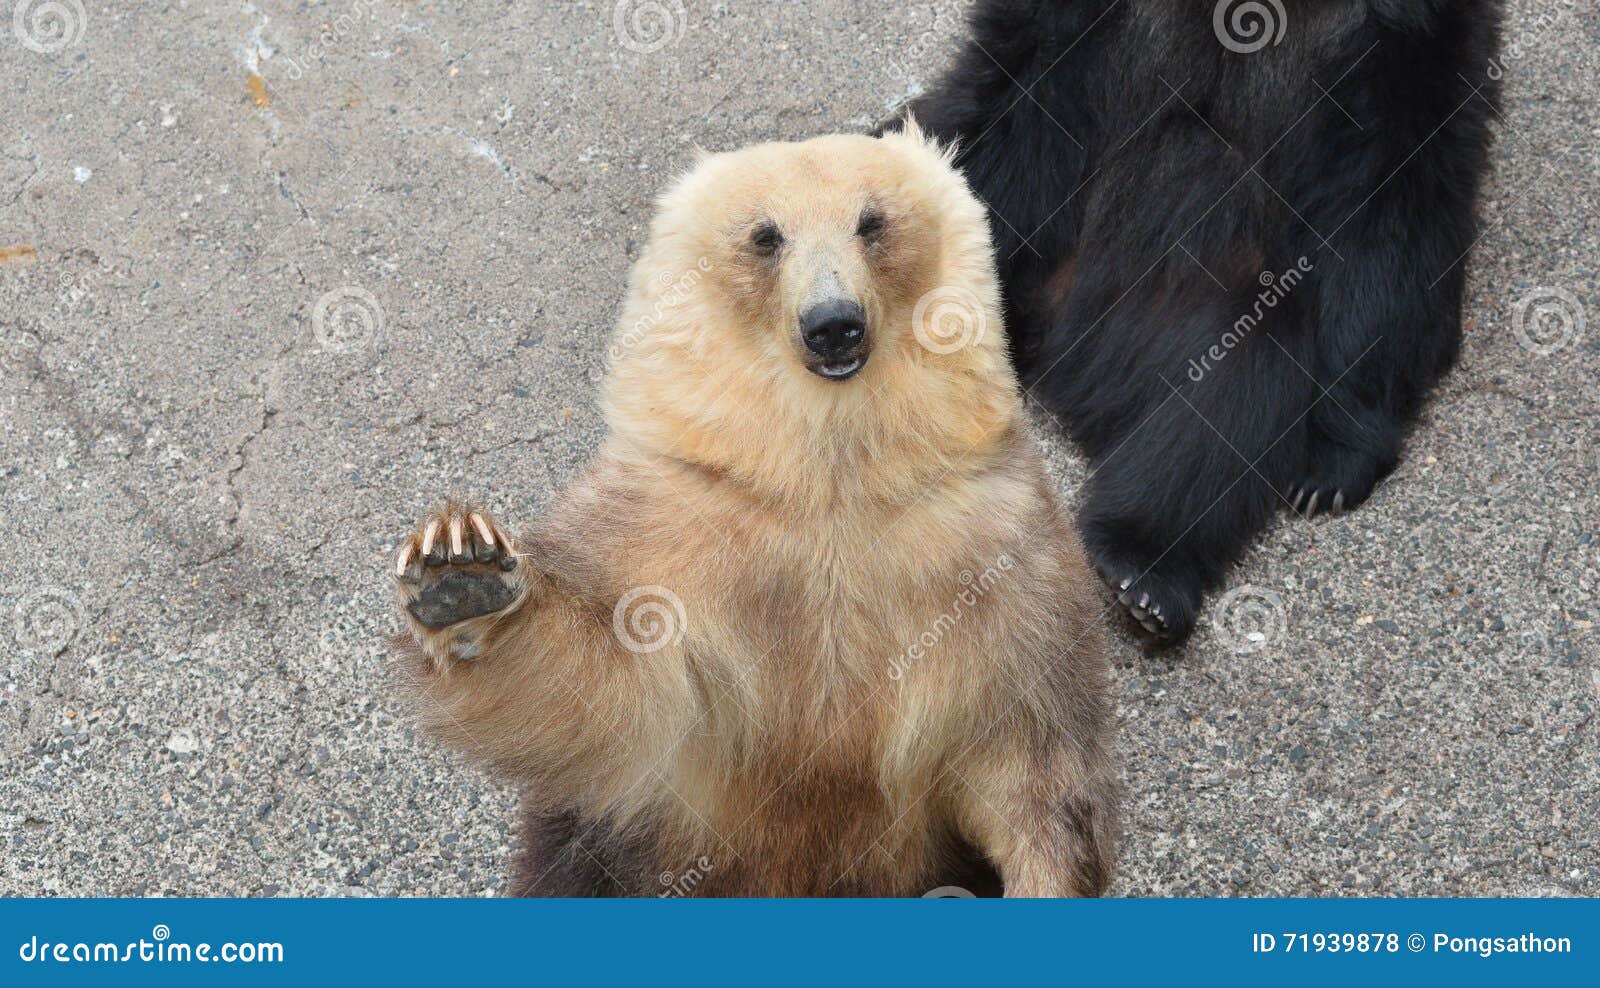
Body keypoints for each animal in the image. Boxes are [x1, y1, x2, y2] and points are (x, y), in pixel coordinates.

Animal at [387, 125, 1119, 897]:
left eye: (872, 221)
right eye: (766, 234)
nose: (833, 324)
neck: (827, 477)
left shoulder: (989, 541)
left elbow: (1034, 751)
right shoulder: (677, 524)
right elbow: (602, 692)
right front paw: (459, 568)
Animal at [893, 0, 1502, 643]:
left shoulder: (1402, 41)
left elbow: (1389, 215)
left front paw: (1338, 462)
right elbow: (1011, 92)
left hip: (1153, 323)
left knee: (1235, 381)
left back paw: (1144, 568)